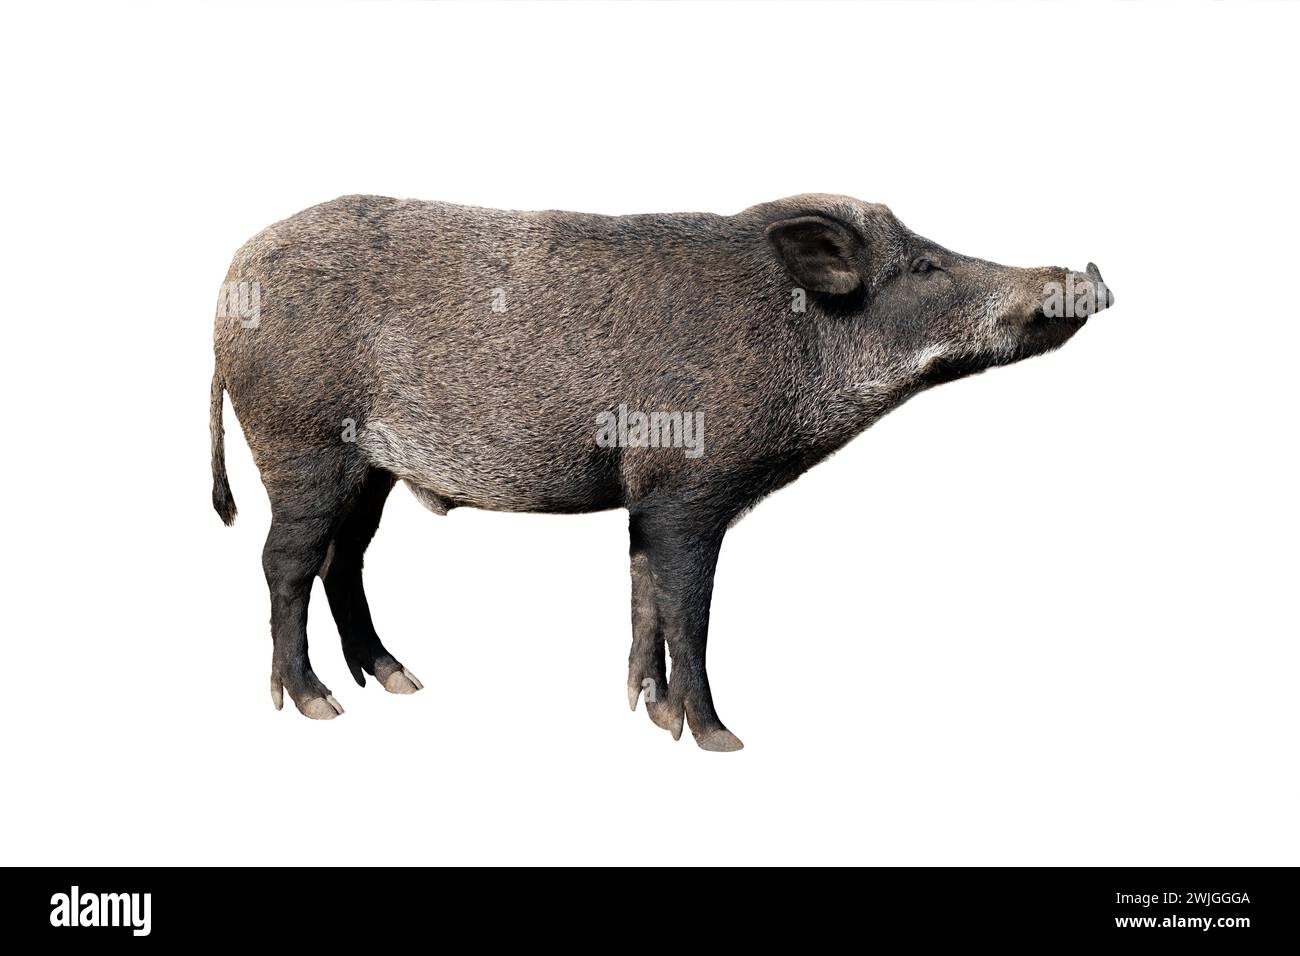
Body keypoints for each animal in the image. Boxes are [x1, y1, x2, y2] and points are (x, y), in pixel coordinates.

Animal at [211, 193, 1113, 750]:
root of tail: (230, 282)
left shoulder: (645, 504)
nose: (1090, 274)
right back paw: (317, 706)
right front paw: (718, 737)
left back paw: (402, 683)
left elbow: (646, 596)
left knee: (343, 561)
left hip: (369, 470)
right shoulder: (690, 491)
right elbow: (690, 609)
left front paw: (648, 713)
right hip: (301, 443)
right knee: (285, 561)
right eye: (923, 267)